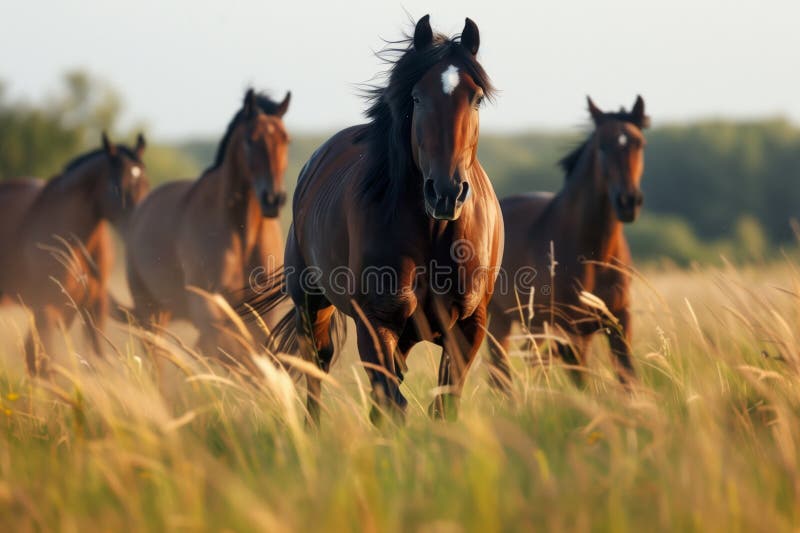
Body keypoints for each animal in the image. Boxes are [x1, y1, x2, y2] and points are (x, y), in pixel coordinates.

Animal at [0, 133, 149, 374]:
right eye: (118, 187)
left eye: (146, 183)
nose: (140, 226)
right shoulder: (46, 309)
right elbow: (45, 365)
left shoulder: (95, 307)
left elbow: (97, 361)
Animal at [122, 88, 290, 373]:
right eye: (250, 140)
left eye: (285, 139)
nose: (273, 198)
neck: (240, 232)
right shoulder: (207, 303)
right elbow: (228, 351)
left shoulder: (262, 310)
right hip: (151, 311)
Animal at [247, 15, 503, 424]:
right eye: (417, 97)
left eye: (476, 98)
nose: (446, 192)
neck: (433, 230)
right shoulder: (377, 320)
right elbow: (390, 402)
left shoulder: (468, 326)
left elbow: (443, 404)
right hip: (311, 303)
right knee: (317, 366)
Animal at [486, 96, 649, 391]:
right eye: (602, 146)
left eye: (639, 143)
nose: (628, 202)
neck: (595, 254)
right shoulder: (567, 330)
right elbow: (580, 382)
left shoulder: (618, 324)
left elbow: (627, 377)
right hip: (506, 319)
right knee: (500, 371)